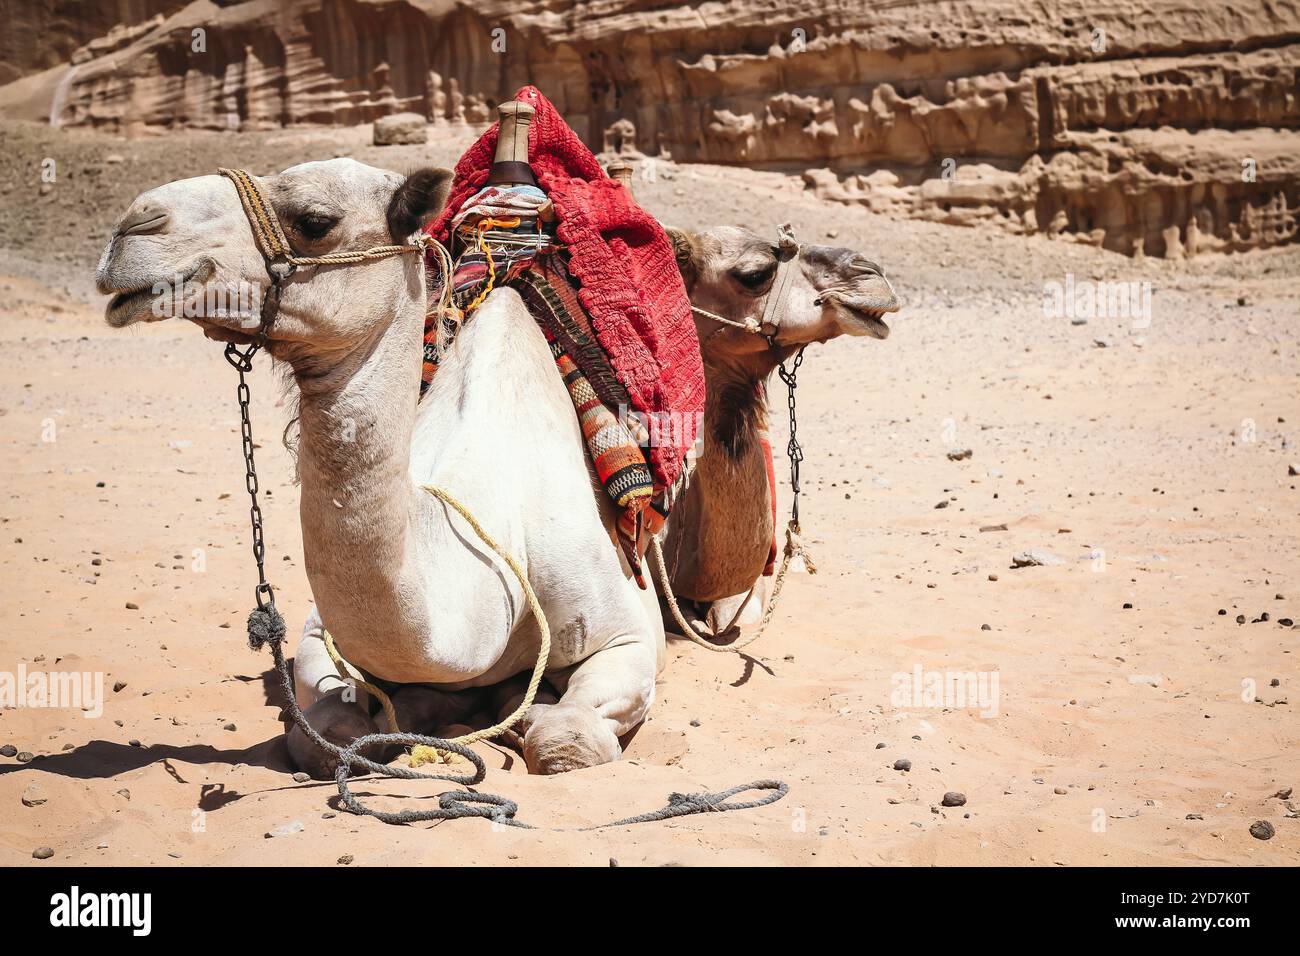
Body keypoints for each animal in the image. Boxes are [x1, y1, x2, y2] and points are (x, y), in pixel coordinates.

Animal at [97, 158, 666, 776]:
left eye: (314, 220)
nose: (132, 226)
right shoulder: (318, 636)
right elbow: (323, 729)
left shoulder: (630, 636)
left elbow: (568, 741)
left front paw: (529, 713)